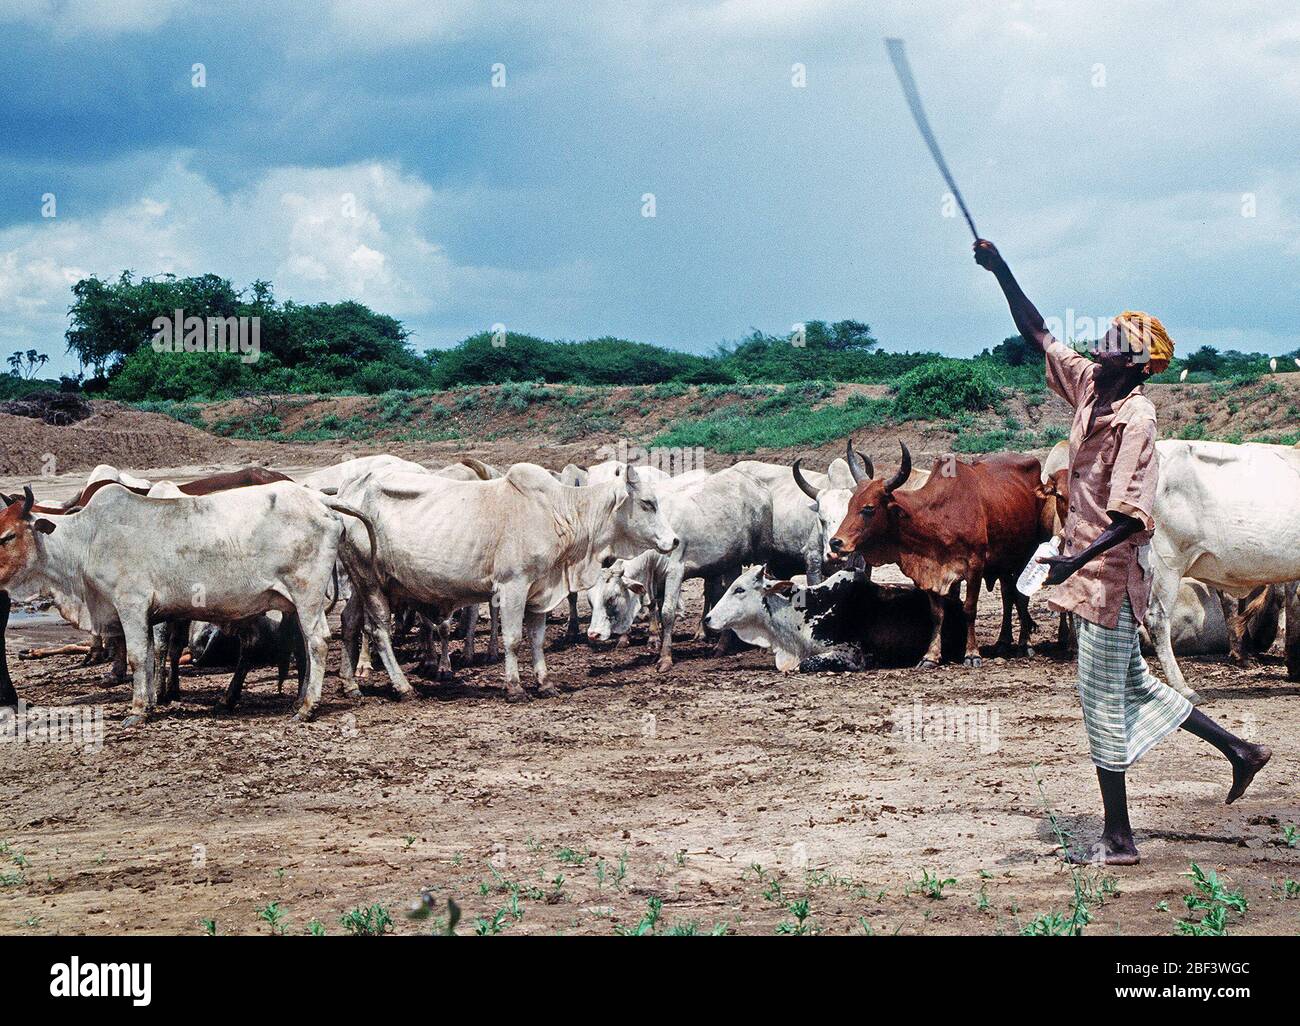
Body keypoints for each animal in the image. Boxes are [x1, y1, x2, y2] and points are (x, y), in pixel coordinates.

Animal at [0, 483, 370, 724]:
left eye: (8, 536)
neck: (89, 537)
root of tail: (320, 500)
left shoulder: (131, 604)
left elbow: (138, 656)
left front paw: (137, 711)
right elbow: (152, 655)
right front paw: (151, 702)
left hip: (307, 594)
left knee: (317, 641)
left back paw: (307, 708)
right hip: (294, 602)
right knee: (302, 645)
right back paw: (295, 700)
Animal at [334, 462, 678, 702]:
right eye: (648, 503)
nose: (674, 540)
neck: (558, 512)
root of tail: (349, 491)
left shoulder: (541, 591)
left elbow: (536, 640)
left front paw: (545, 683)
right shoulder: (514, 585)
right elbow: (513, 638)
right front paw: (514, 687)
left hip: (361, 581)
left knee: (350, 620)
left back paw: (350, 684)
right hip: (370, 582)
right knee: (378, 630)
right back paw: (403, 686)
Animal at [828, 441, 1044, 667]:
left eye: (869, 508)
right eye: (850, 505)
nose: (836, 542)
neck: (937, 516)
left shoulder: (975, 564)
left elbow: (970, 609)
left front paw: (972, 654)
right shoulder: (931, 571)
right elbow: (937, 614)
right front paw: (931, 656)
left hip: (1026, 554)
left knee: (1021, 596)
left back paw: (1024, 644)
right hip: (1004, 562)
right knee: (1007, 595)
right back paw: (1003, 642)